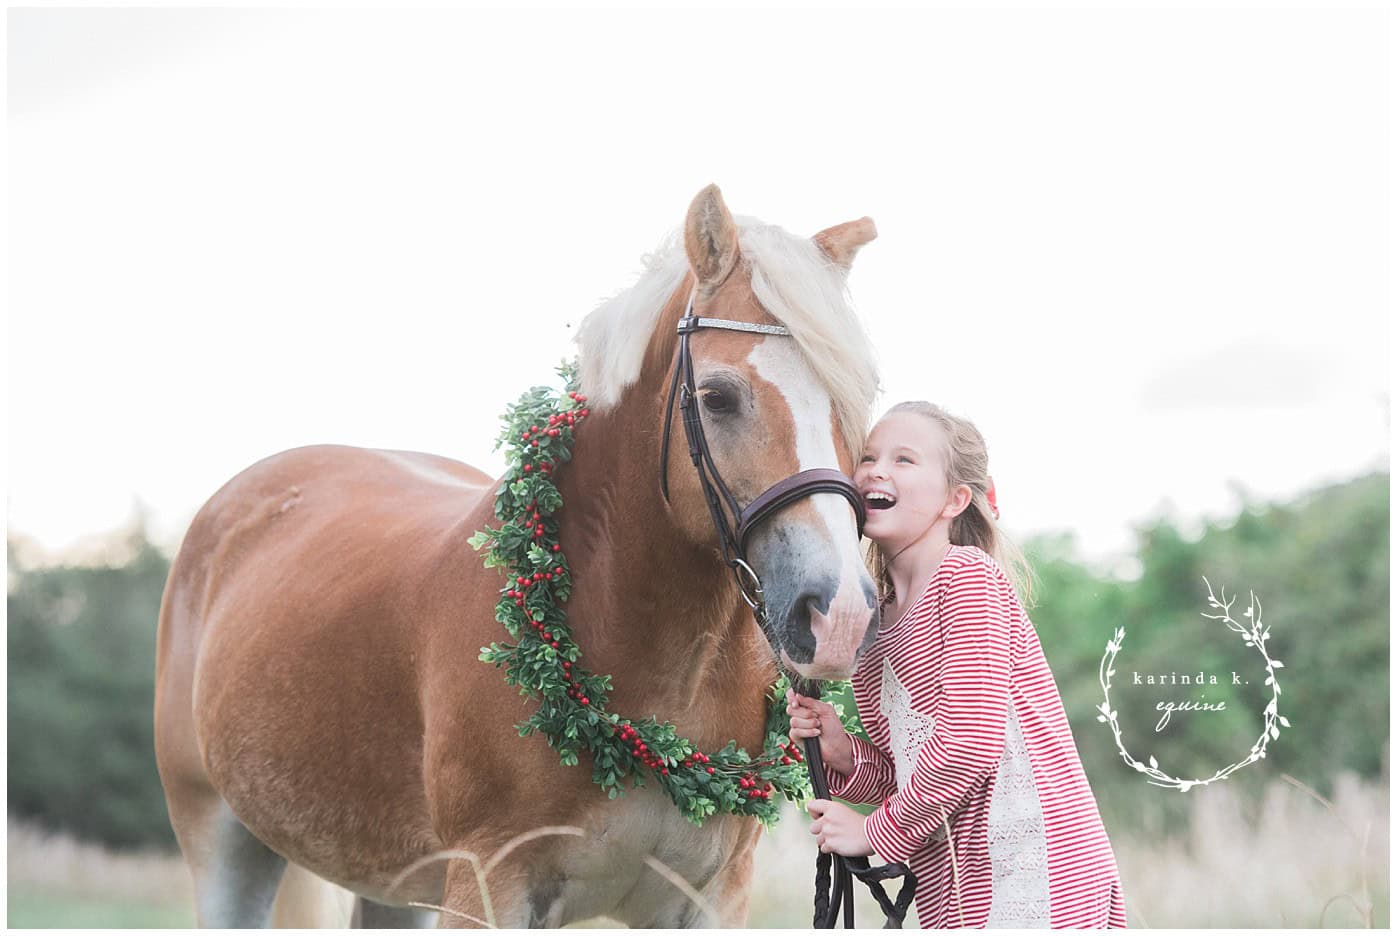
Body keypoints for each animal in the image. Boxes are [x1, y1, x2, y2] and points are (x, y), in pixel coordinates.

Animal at [153, 184, 883, 927]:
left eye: (857, 401)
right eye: (717, 396)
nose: (840, 615)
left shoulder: (711, 897)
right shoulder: (489, 883)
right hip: (220, 838)